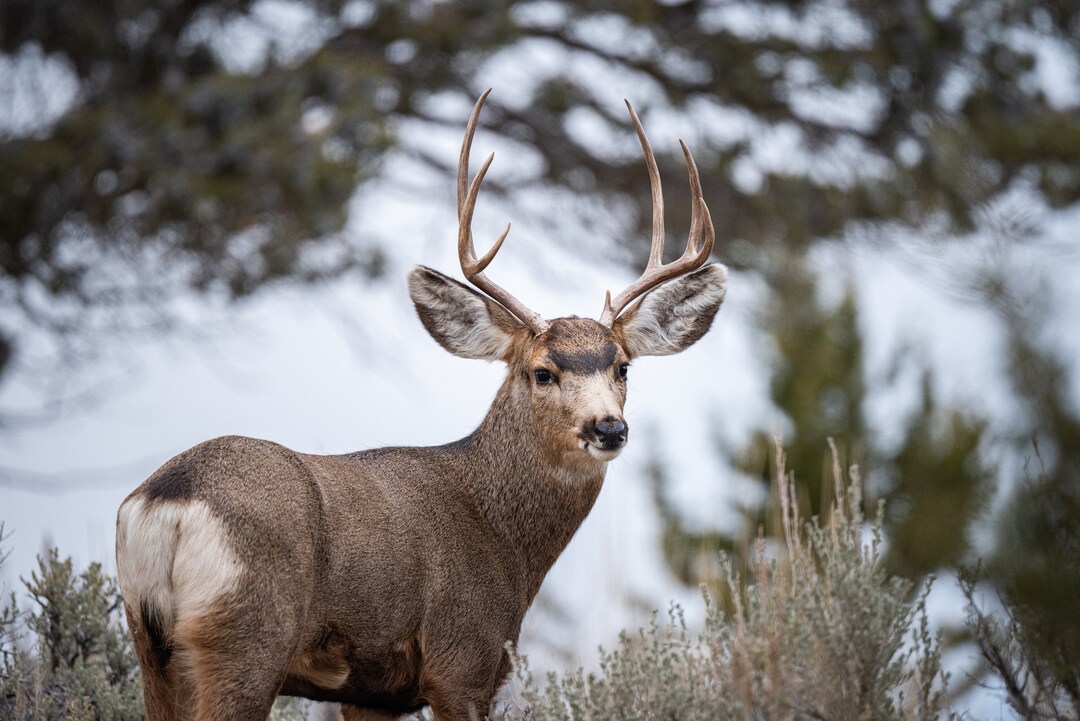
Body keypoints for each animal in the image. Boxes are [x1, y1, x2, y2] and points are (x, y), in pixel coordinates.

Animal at [115, 89, 727, 721]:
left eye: (622, 367)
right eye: (542, 372)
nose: (608, 428)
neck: (503, 537)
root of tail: (165, 502)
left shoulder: (372, 691)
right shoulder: (463, 660)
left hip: (153, 649)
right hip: (247, 637)